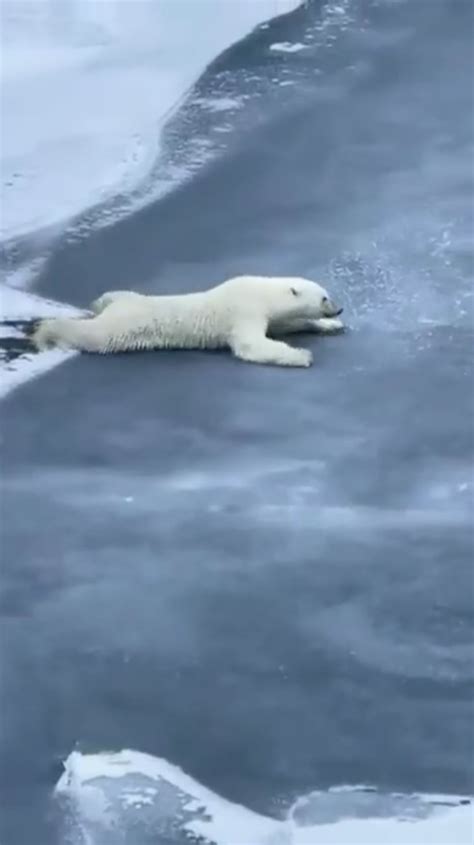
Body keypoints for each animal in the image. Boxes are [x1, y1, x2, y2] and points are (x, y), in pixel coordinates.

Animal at [32, 275, 344, 367]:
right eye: (325, 298)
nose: (339, 310)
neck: (261, 292)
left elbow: (285, 325)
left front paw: (332, 327)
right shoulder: (243, 312)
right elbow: (251, 345)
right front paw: (302, 355)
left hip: (126, 300)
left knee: (114, 295)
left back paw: (97, 302)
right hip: (121, 325)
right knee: (92, 334)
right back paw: (44, 333)